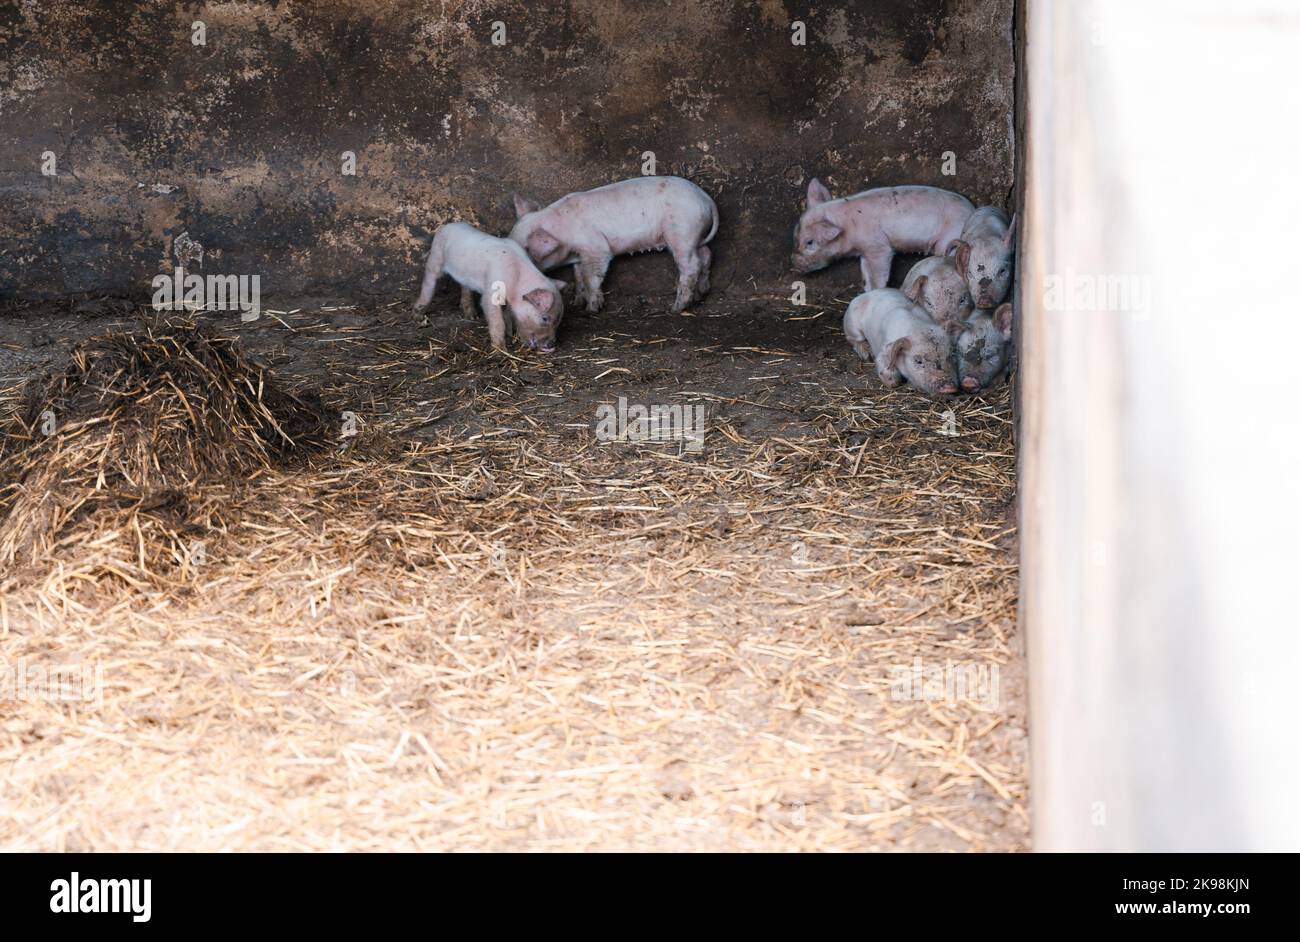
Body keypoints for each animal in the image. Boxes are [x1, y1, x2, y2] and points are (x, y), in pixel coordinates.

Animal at [412, 222, 566, 352]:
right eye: (545, 318)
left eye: (559, 319)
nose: (552, 344)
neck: (516, 279)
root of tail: (445, 226)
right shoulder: (491, 292)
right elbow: (497, 320)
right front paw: (501, 350)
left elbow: (508, 316)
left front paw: (510, 334)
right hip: (436, 257)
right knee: (429, 281)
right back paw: (417, 314)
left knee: (465, 288)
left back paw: (471, 315)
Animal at [509, 176, 719, 315]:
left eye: (527, 252)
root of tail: (706, 198)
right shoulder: (580, 255)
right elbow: (578, 277)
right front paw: (577, 303)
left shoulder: (596, 248)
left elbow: (592, 278)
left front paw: (591, 309)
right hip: (693, 236)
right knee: (706, 254)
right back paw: (701, 294)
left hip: (682, 234)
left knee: (691, 266)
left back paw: (677, 308)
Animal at [792, 179, 974, 290]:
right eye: (795, 235)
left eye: (810, 242)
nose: (794, 262)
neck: (848, 226)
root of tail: (973, 210)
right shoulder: (864, 252)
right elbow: (865, 274)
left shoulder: (877, 246)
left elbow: (878, 270)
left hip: (949, 238)